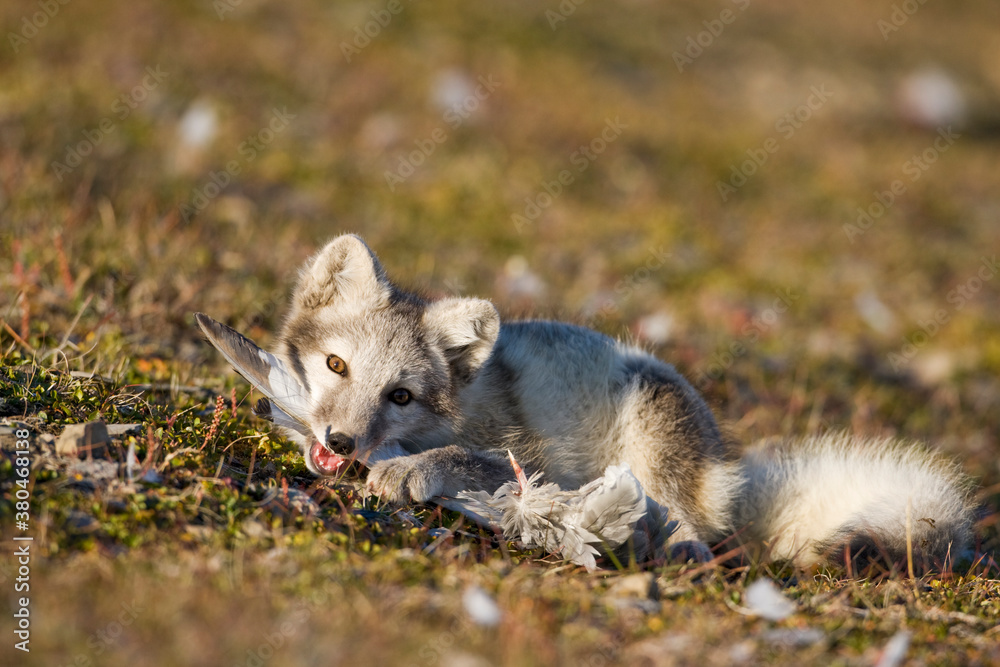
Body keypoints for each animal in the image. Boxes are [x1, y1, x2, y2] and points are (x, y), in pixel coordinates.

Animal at [205, 233, 978, 571]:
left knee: (699, 530)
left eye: (401, 395)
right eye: (335, 365)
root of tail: (725, 465)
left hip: (655, 425)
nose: (340, 442)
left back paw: (674, 547)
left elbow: (475, 460)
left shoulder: (534, 460)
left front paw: (409, 469)